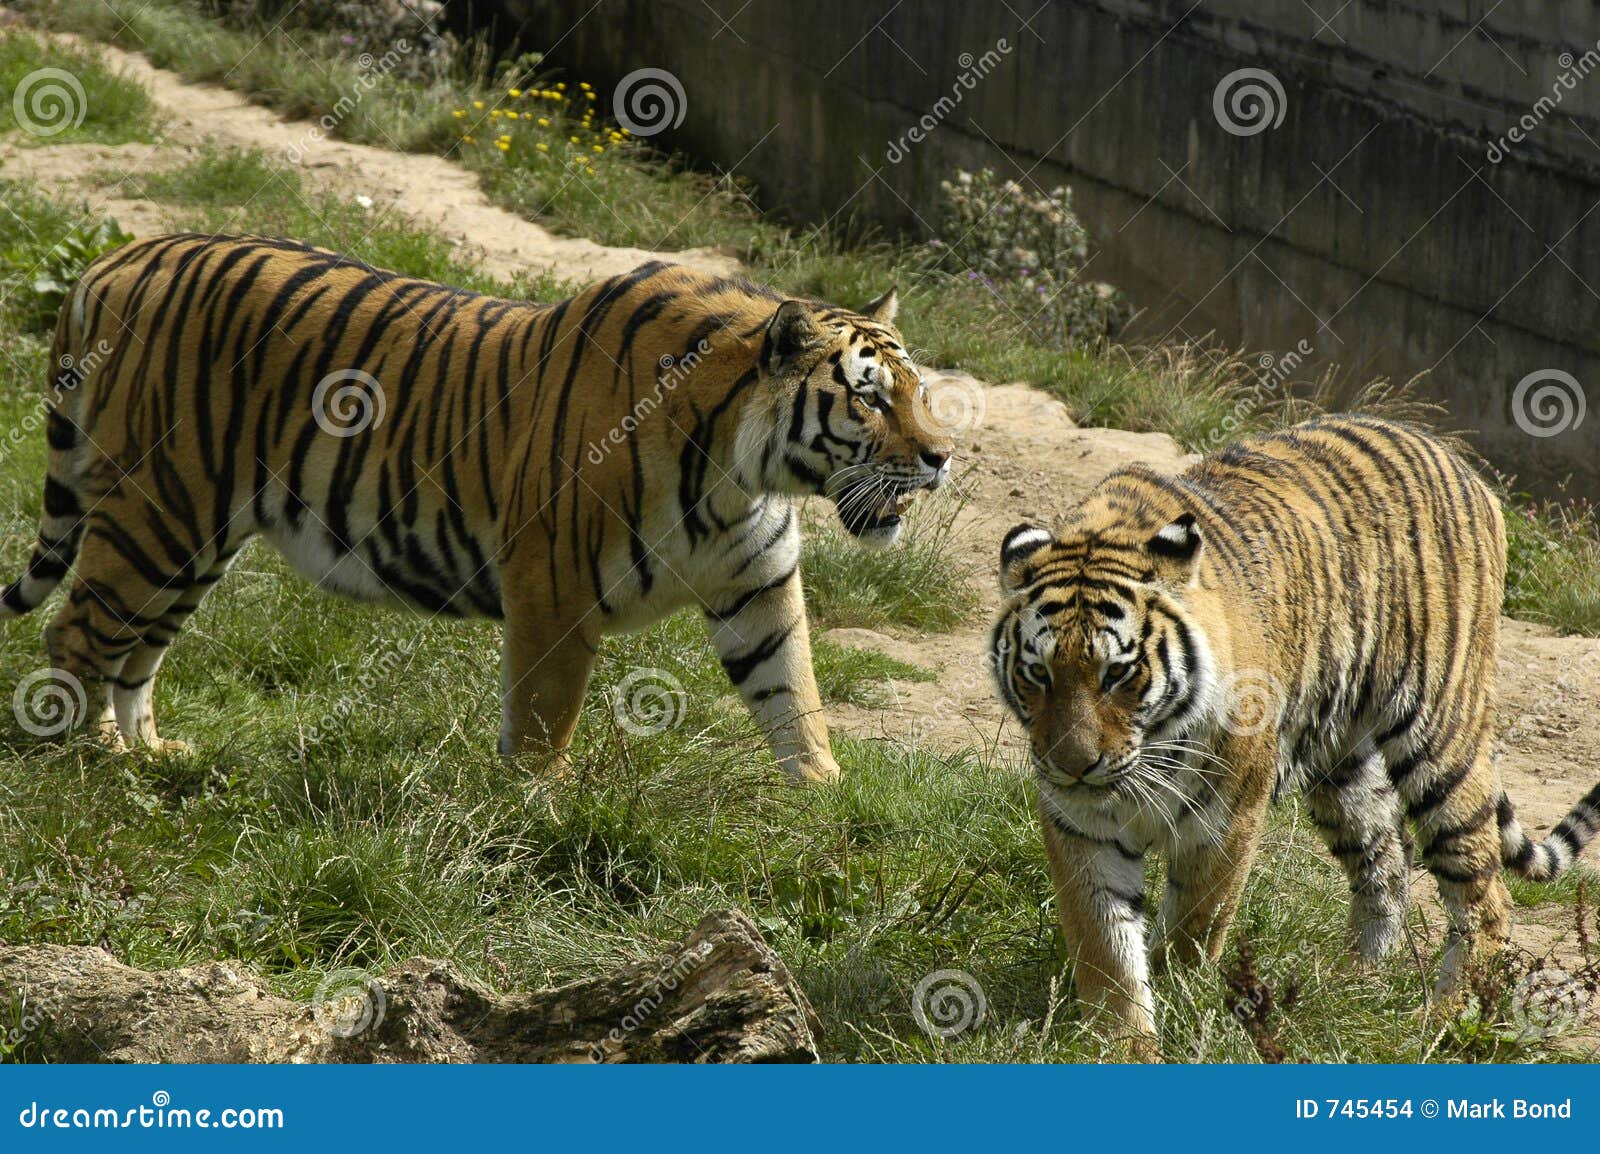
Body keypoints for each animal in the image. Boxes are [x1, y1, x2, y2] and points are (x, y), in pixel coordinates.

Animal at [0, 234, 953, 780]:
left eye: (919, 391)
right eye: (869, 399)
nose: (943, 458)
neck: (738, 473)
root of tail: (116, 260)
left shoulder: (758, 588)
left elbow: (796, 702)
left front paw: (826, 816)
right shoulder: (554, 590)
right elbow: (542, 723)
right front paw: (539, 821)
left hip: (194, 534)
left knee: (137, 649)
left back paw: (149, 757)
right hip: (159, 511)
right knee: (77, 634)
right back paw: (86, 768)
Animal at [988, 414, 1600, 1052]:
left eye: (1117, 673)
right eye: (1038, 673)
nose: (1072, 765)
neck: (1147, 751)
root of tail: (1454, 457)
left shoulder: (1225, 817)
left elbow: (1195, 922)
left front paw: (1180, 993)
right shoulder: (1080, 826)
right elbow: (1105, 945)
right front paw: (1123, 1044)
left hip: (1436, 737)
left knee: (1484, 894)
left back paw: (1442, 1020)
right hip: (1344, 769)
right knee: (1387, 862)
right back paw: (1356, 984)